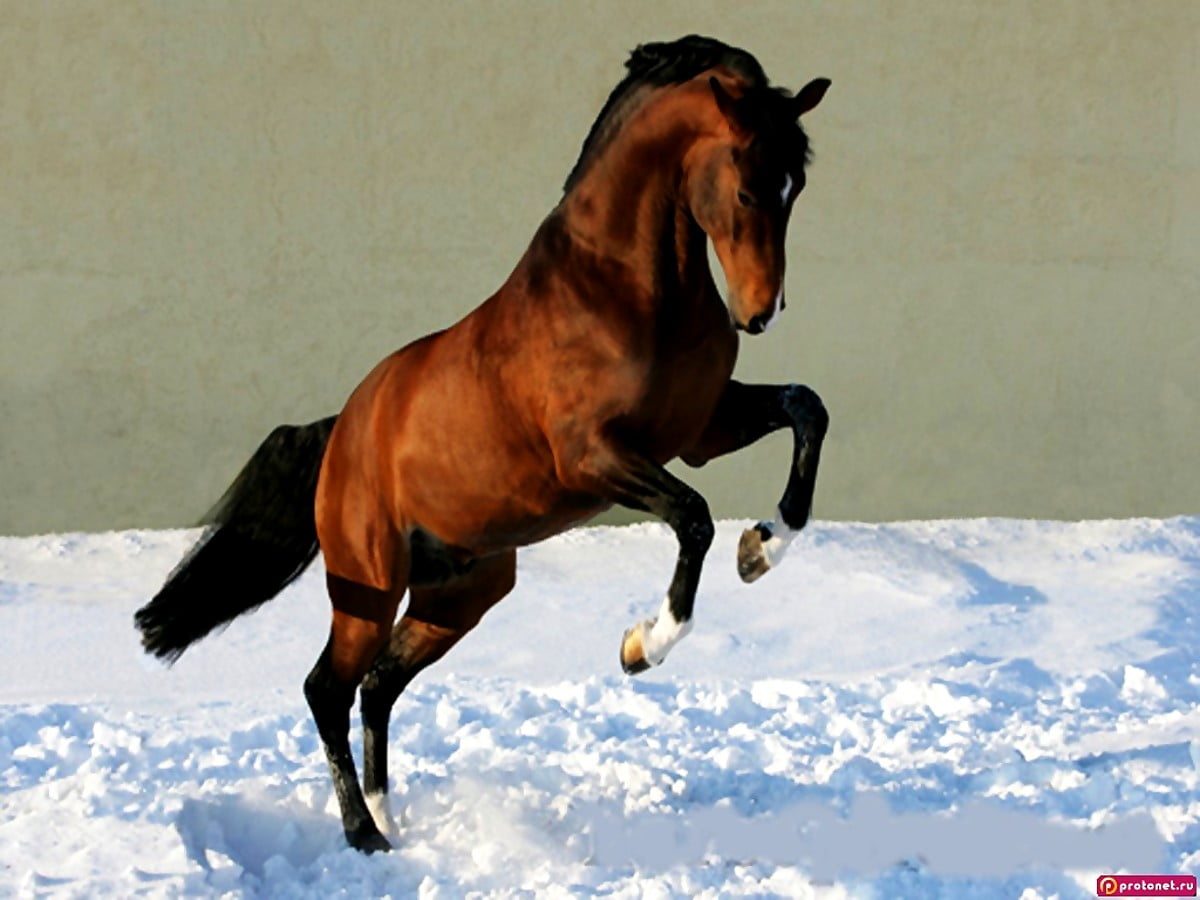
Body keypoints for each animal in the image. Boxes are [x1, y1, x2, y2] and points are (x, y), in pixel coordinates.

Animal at [135, 34, 831, 854]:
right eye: (749, 190)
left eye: (797, 189)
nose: (762, 313)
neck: (625, 289)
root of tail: (342, 433)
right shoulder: (594, 456)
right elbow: (693, 516)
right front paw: (642, 646)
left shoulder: (700, 430)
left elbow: (807, 410)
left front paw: (761, 550)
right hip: (369, 584)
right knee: (328, 688)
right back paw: (363, 834)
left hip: (459, 595)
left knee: (377, 686)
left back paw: (388, 817)